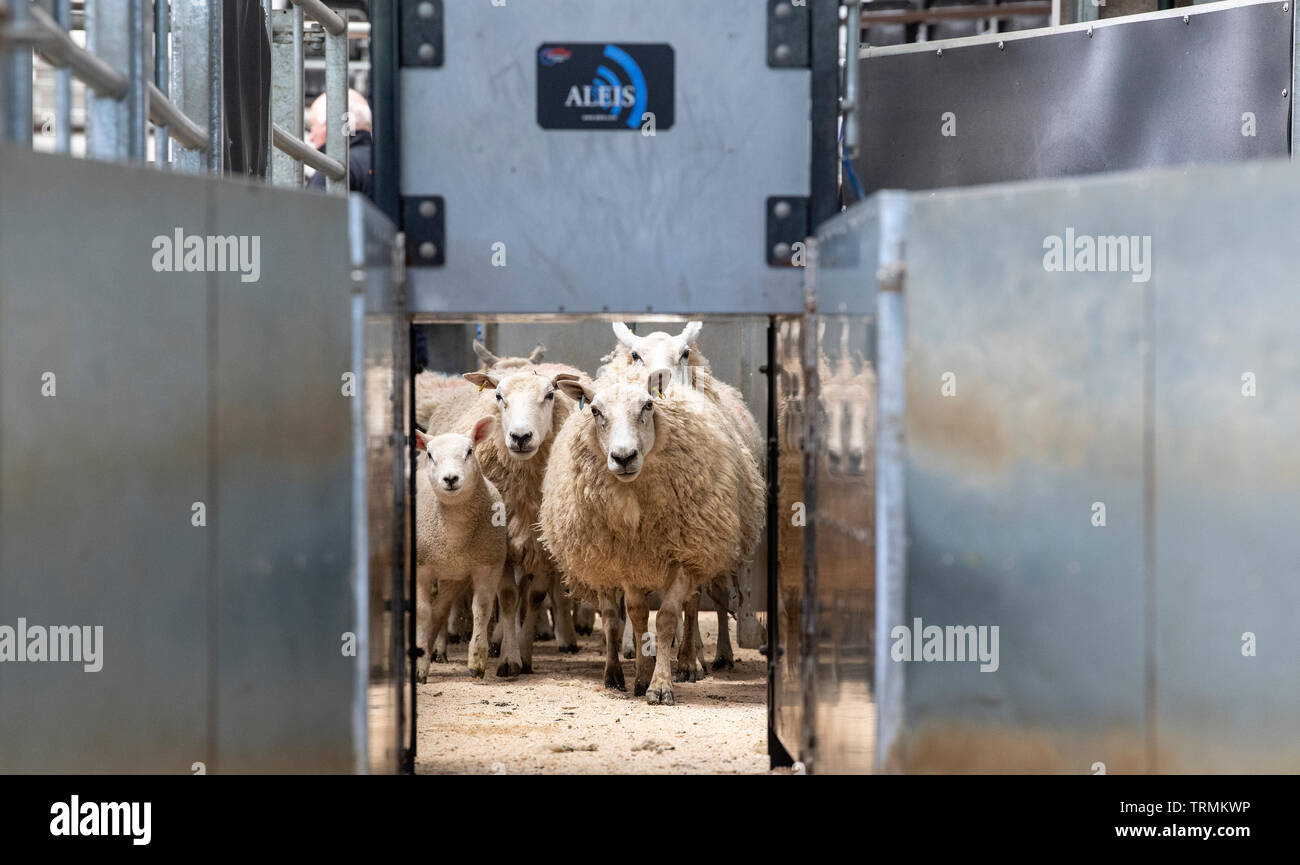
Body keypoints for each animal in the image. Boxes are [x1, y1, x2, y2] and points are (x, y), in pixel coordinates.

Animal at [414, 421, 520, 681]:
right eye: (430, 455)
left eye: (470, 451)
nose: (450, 478)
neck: (454, 535)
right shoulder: (422, 568)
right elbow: (422, 612)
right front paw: (420, 668)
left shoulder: (487, 565)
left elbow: (481, 608)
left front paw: (477, 662)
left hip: (456, 576)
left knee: (441, 609)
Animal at [539, 368, 765, 705]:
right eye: (595, 411)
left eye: (648, 406)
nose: (624, 457)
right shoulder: (628, 561)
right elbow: (636, 615)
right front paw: (642, 676)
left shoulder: (684, 555)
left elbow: (668, 618)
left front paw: (661, 685)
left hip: (699, 549)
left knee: (692, 606)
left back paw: (688, 663)